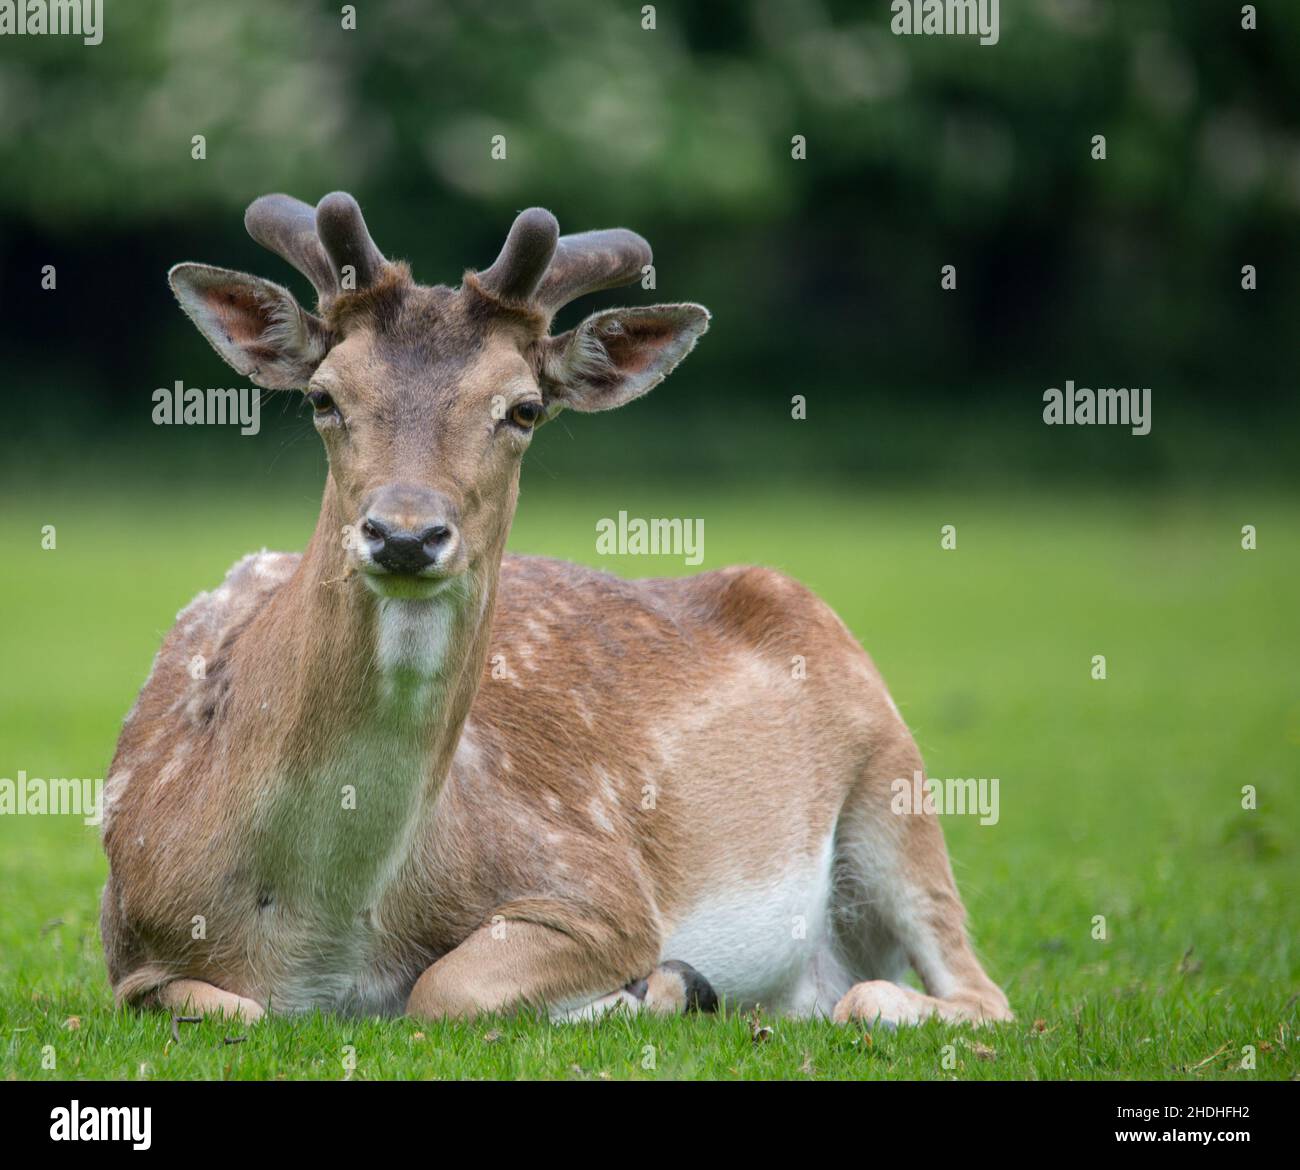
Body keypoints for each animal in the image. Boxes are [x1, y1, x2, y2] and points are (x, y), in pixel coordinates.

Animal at [99, 191, 1012, 1029]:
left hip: (895, 785)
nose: (406, 534)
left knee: (964, 993)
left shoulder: (601, 888)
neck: (315, 932)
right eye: (324, 397)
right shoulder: (125, 937)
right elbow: (223, 1005)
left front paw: (661, 984)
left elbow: (441, 990)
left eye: (524, 408)